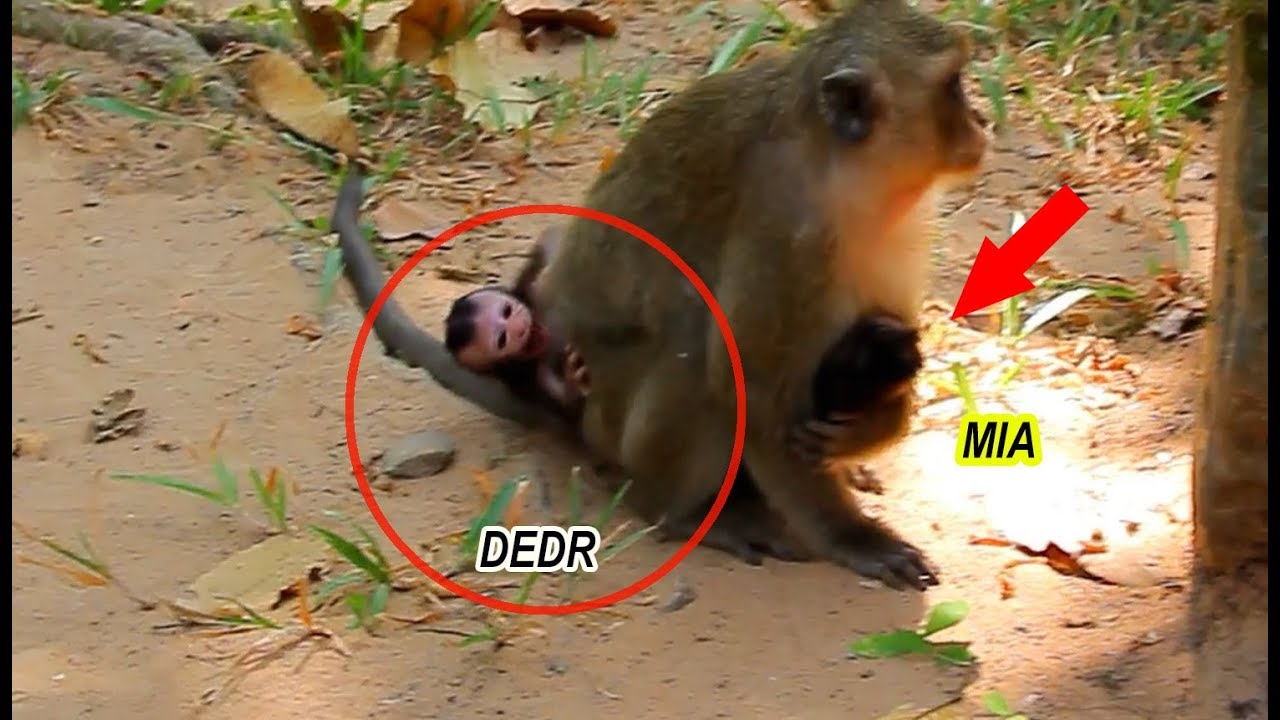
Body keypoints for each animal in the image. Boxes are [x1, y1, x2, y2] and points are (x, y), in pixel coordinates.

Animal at [532, 0, 989, 590]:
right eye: (952, 85)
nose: (981, 123)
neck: (846, 173)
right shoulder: (784, 227)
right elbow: (751, 388)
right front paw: (853, 536)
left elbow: (893, 330)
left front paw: (877, 424)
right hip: (612, 416)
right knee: (695, 338)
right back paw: (681, 511)